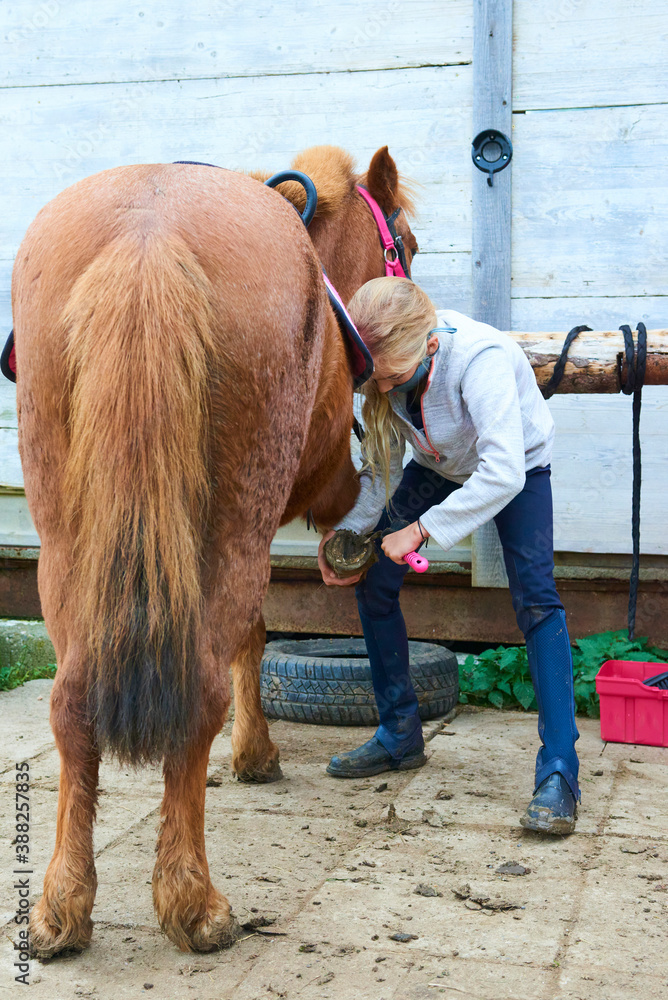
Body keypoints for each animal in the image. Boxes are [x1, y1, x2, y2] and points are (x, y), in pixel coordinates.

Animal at [13, 144, 417, 956]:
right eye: (407, 246)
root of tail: (149, 236)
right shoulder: (323, 482)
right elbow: (256, 632)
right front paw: (255, 753)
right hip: (234, 527)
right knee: (198, 695)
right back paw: (192, 901)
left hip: (66, 547)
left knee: (71, 704)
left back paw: (62, 906)